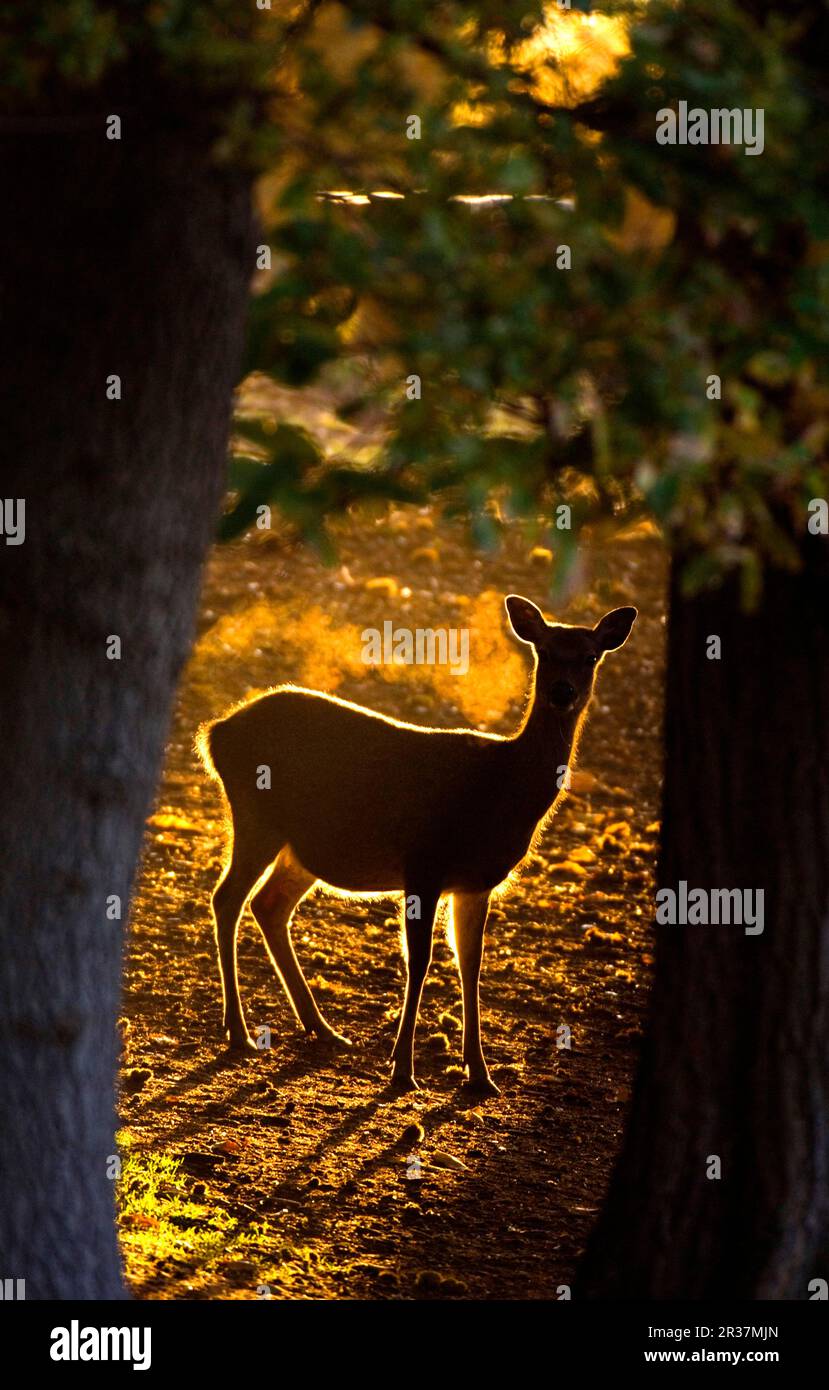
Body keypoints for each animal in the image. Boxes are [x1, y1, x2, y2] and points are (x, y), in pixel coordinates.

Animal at [197, 594, 636, 1095]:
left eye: (591, 656)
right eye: (543, 650)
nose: (562, 692)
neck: (502, 787)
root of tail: (215, 733)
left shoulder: (476, 884)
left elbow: (471, 964)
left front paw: (480, 1074)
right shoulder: (424, 864)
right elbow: (420, 961)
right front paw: (402, 1068)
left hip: (301, 848)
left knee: (269, 905)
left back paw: (323, 1029)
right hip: (256, 817)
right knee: (227, 898)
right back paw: (240, 1032)